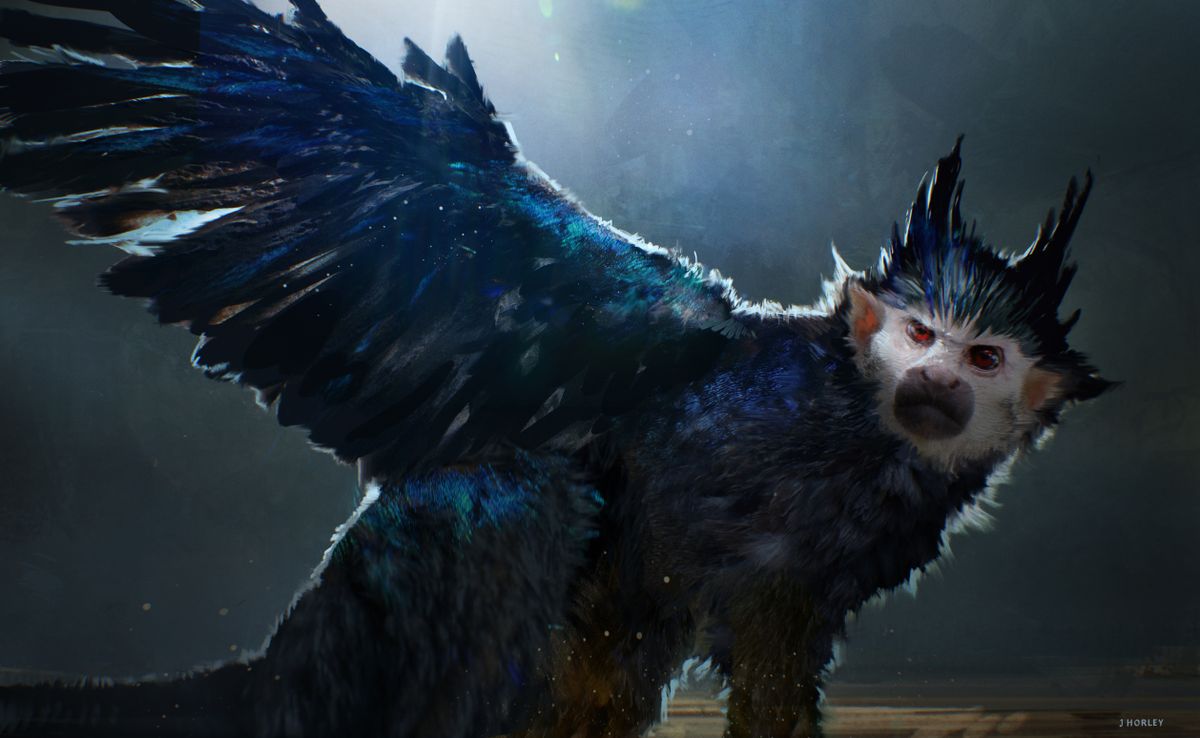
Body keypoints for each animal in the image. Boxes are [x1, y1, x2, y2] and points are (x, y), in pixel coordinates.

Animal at [0, 1, 1111, 736]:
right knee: (532, 498)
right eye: (919, 336)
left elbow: (773, 651)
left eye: (984, 355)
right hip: (400, 592)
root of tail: (286, 669)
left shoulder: (808, 591)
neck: (843, 418)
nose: (938, 384)